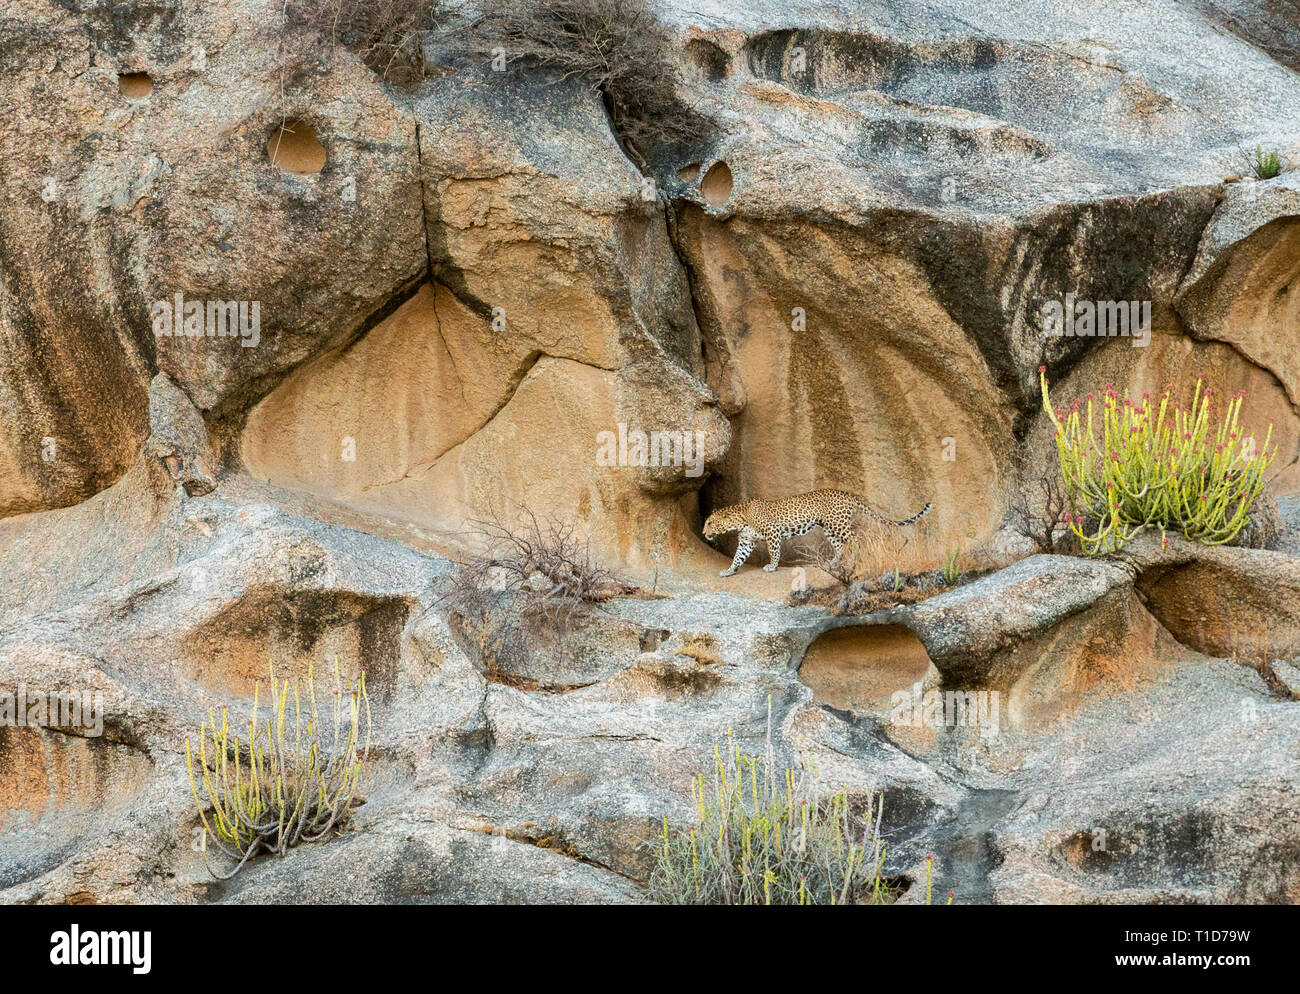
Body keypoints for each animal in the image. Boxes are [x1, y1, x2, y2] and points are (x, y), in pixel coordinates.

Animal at [702, 488, 933, 576]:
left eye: (710, 523)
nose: (704, 534)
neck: (740, 520)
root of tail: (846, 494)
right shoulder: (746, 541)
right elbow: (738, 557)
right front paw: (729, 570)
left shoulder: (772, 532)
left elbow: (774, 551)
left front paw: (772, 567)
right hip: (830, 528)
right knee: (841, 547)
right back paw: (834, 563)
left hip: (838, 524)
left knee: (857, 540)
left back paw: (862, 559)